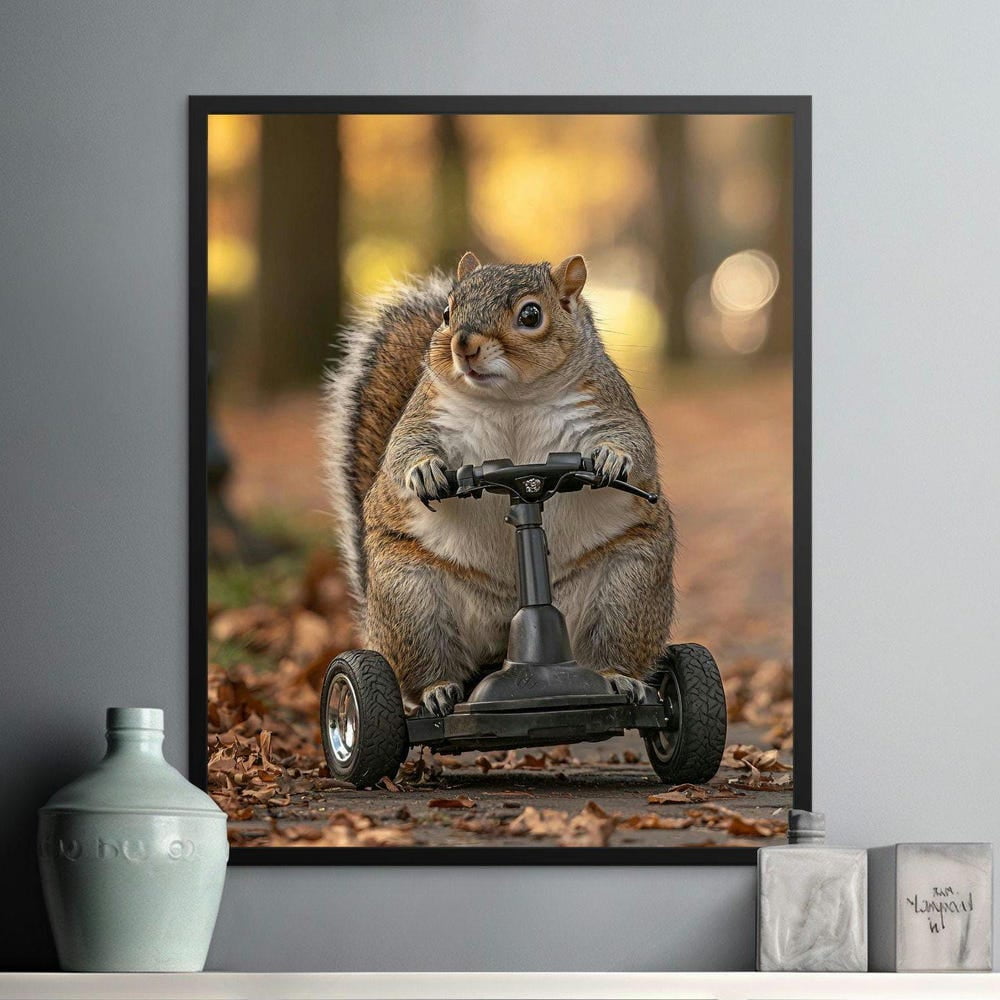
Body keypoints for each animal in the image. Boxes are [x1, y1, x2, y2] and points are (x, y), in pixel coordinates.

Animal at [322, 252, 676, 717]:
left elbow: (636, 445)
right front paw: (423, 471)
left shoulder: (609, 405)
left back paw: (619, 678)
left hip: (630, 587)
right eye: (447, 312)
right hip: (409, 599)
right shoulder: (425, 414)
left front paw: (613, 459)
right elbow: (402, 449)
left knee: (614, 647)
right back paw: (437, 691)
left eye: (531, 315)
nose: (463, 344)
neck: (512, 399)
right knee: (424, 668)